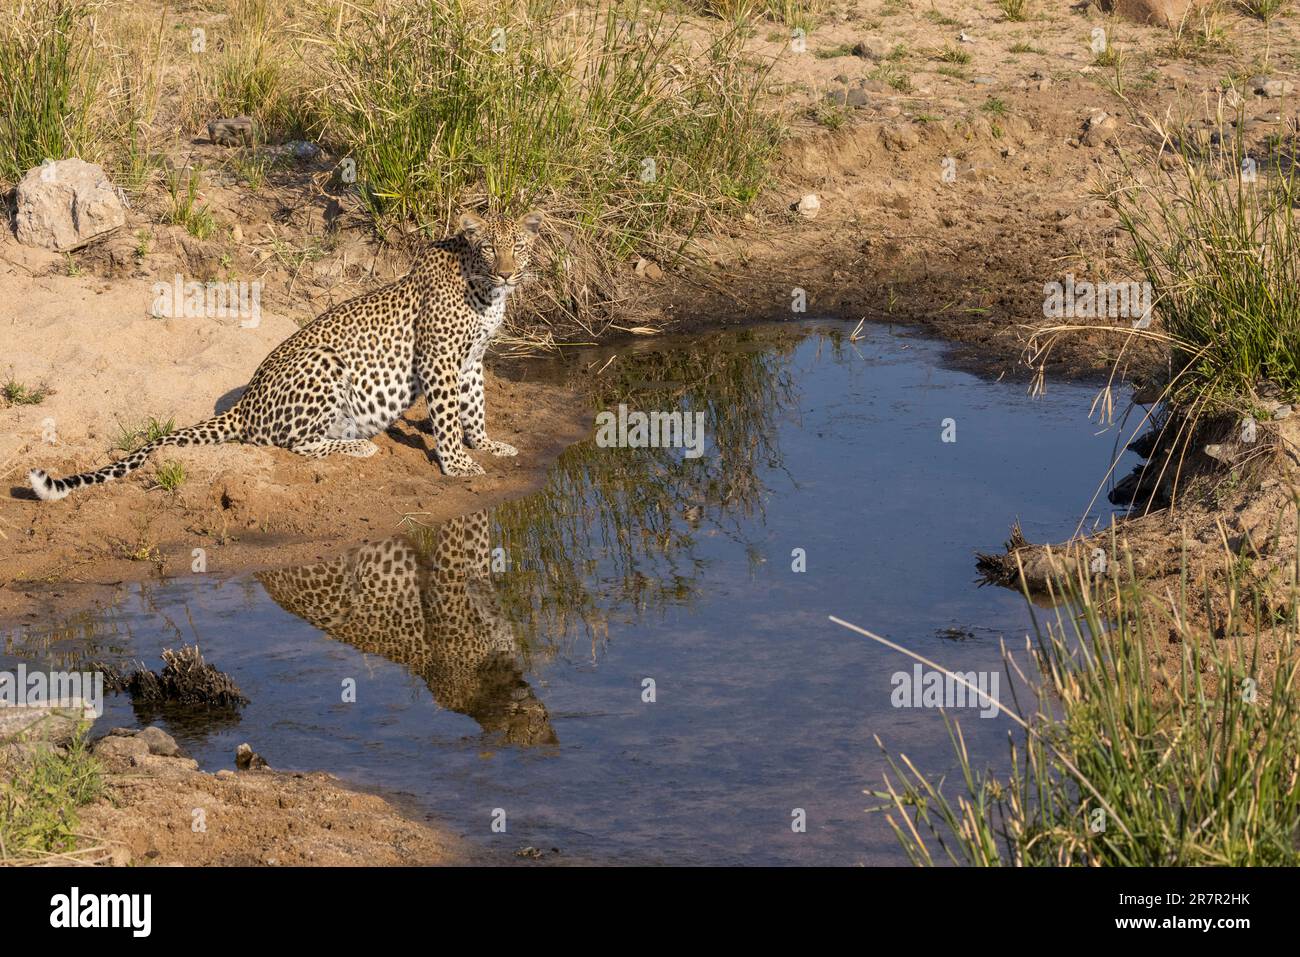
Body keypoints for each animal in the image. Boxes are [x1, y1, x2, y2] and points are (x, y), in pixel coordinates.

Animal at [28, 209, 544, 501]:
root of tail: (245, 404)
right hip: (325, 363)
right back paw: (358, 445)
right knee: (291, 442)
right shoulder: (439, 359)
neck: (485, 291)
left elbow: (474, 407)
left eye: (518, 246)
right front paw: (457, 463)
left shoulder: (470, 360)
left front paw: (487, 444)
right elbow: (448, 416)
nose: (508, 273)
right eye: (489, 248)